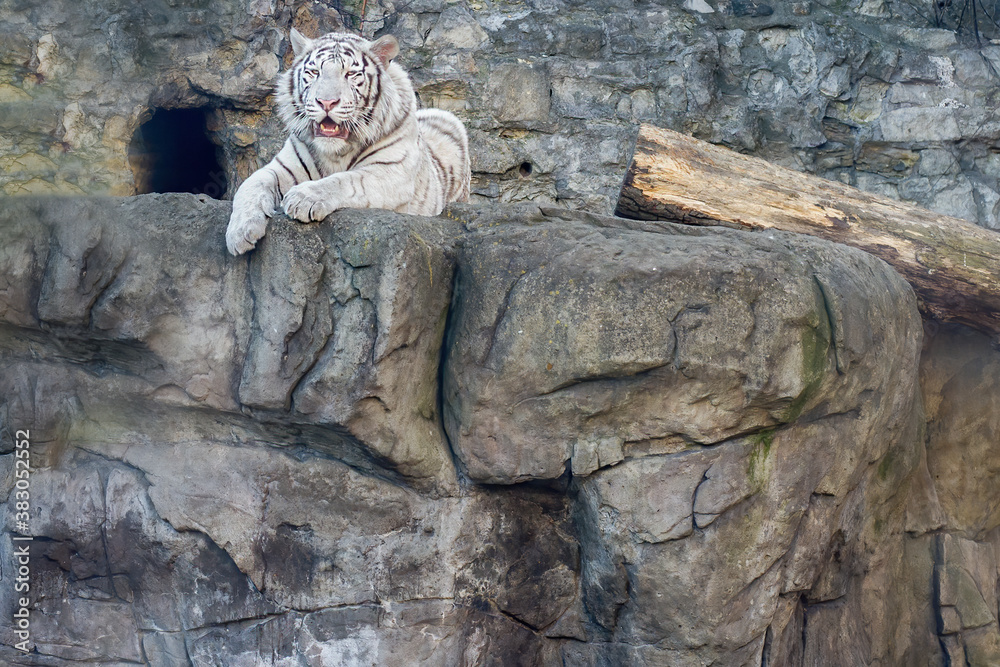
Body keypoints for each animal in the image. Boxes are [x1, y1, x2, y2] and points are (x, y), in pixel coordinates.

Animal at [226, 28, 471, 256]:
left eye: (351, 74)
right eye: (314, 72)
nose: (326, 102)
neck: (335, 153)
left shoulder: (392, 172)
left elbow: (345, 180)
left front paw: (302, 198)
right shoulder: (283, 167)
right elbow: (251, 184)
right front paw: (239, 233)